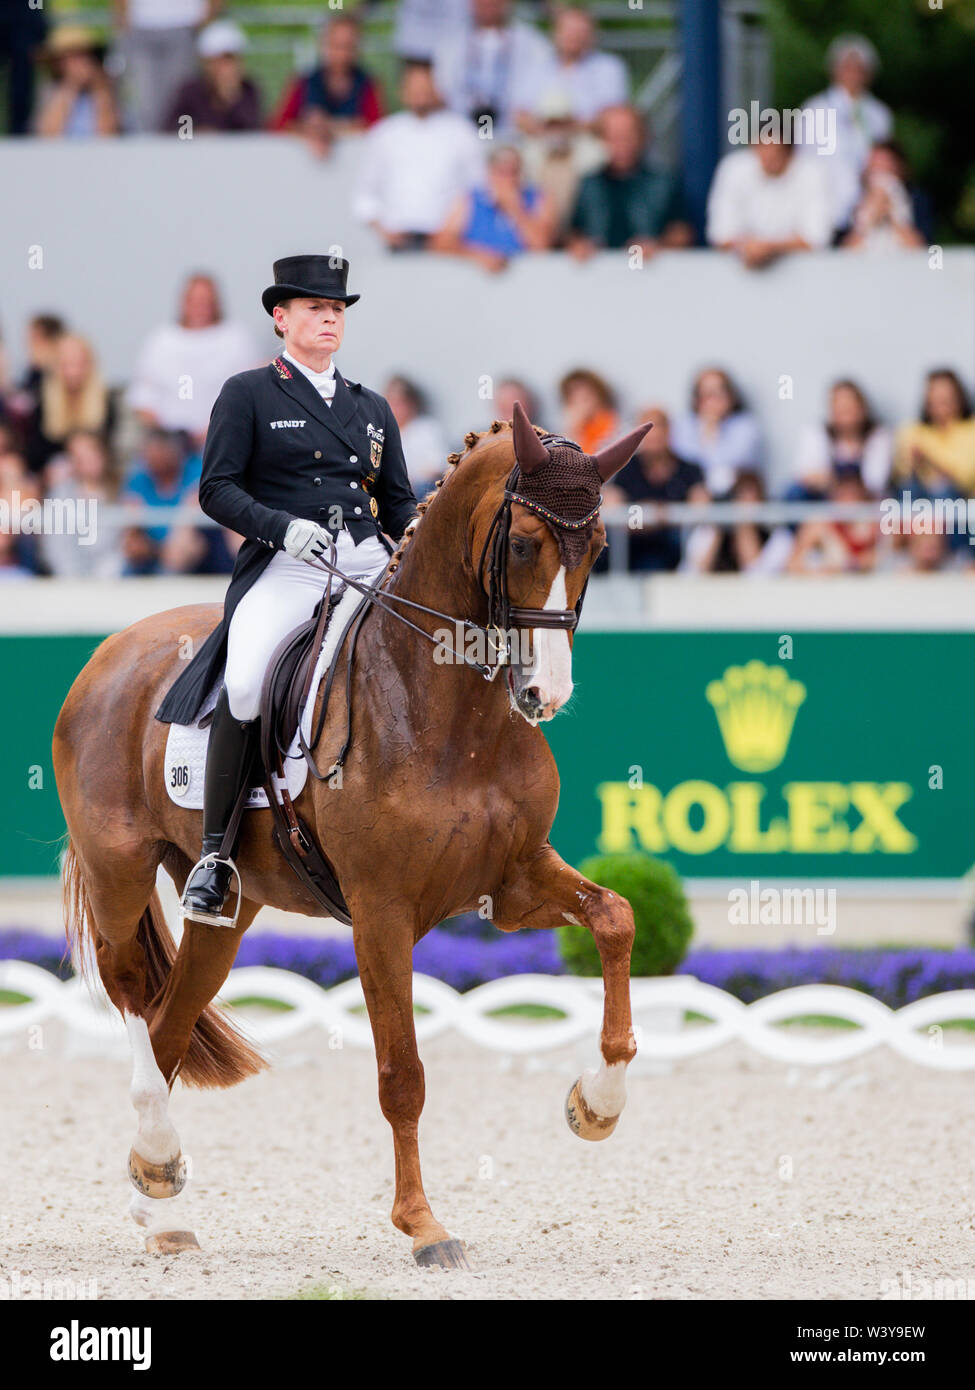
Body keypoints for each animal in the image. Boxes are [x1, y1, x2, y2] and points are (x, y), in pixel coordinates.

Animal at [53, 403, 649, 1270]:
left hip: (228, 915)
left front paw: (595, 1106)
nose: (545, 693)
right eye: (523, 545)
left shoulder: (509, 882)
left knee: (169, 1025)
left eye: (598, 547)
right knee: (132, 991)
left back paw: (156, 1199)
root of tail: (111, 652)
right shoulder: (380, 911)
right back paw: (158, 1161)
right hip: (118, 871)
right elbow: (402, 1073)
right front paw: (424, 1225)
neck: (451, 711)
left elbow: (615, 917)